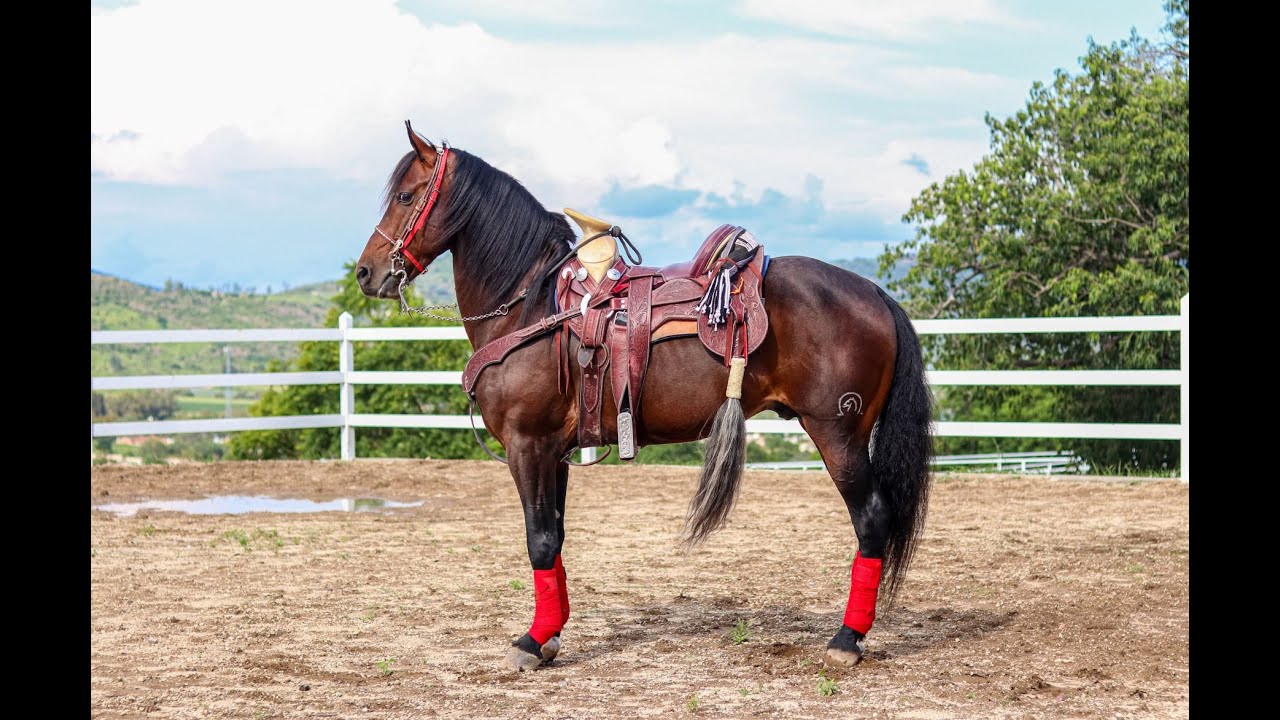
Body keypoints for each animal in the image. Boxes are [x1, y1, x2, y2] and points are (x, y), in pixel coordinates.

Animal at [355, 122, 934, 672]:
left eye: (405, 195)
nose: (366, 273)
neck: (532, 307)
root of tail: (875, 292)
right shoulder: (554, 452)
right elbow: (555, 538)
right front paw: (551, 635)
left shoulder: (527, 445)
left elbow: (538, 540)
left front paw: (532, 642)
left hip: (838, 433)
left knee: (872, 519)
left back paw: (847, 639)